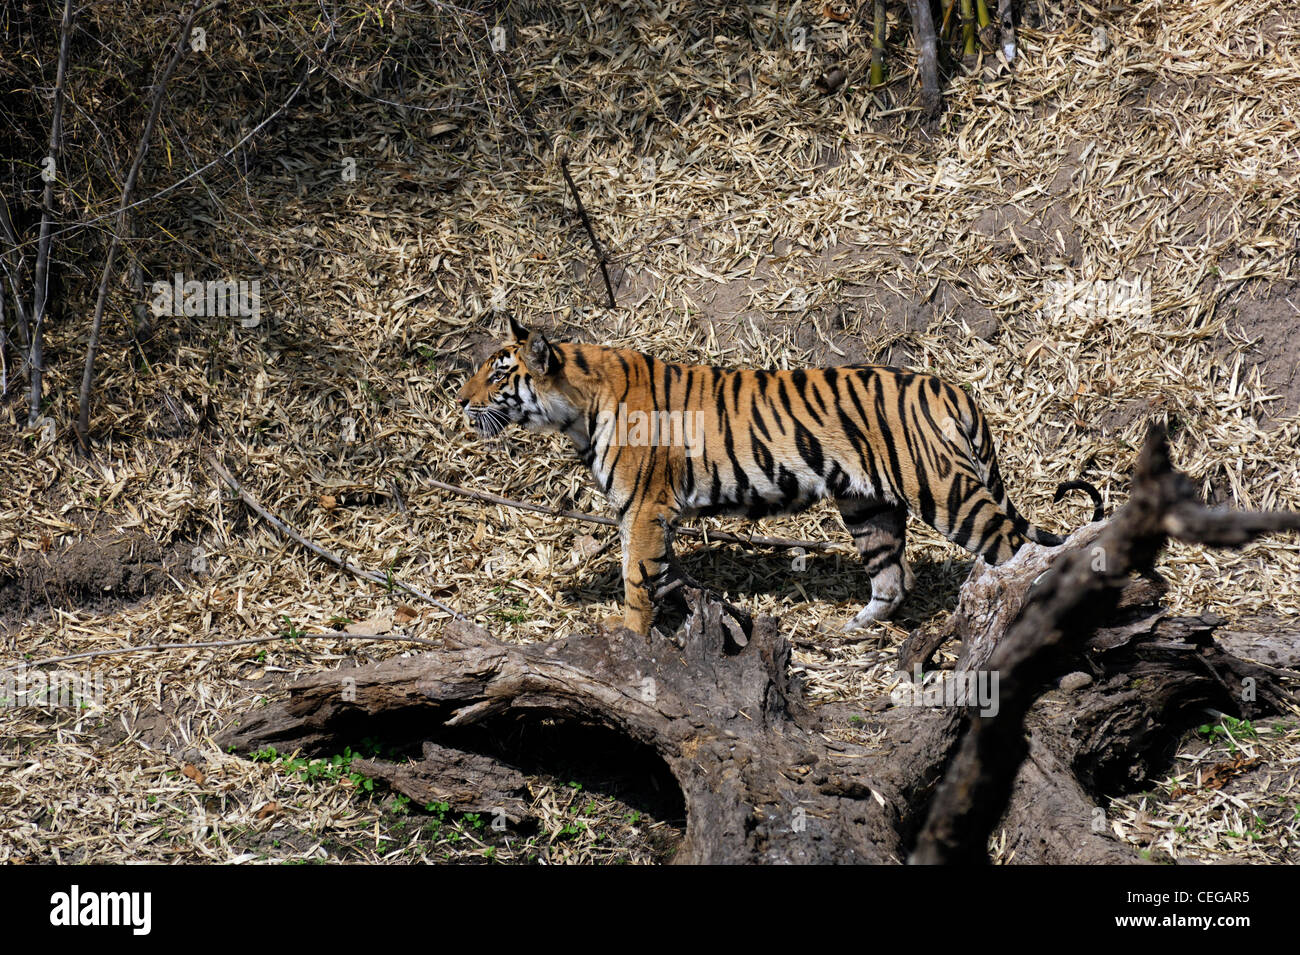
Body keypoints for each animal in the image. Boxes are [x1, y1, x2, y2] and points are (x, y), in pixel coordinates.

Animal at [457, 317, 1103, 636]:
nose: (460, 401)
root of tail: (954, 388)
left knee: (1018, 554)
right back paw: (853, 630)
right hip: (869, 507)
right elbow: (664, 574)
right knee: (893, 579)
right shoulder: (655, 516)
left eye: (498, 375)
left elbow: (636, 581)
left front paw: (632, 638)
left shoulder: (643, 509)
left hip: (945, 491)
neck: (575, 405)